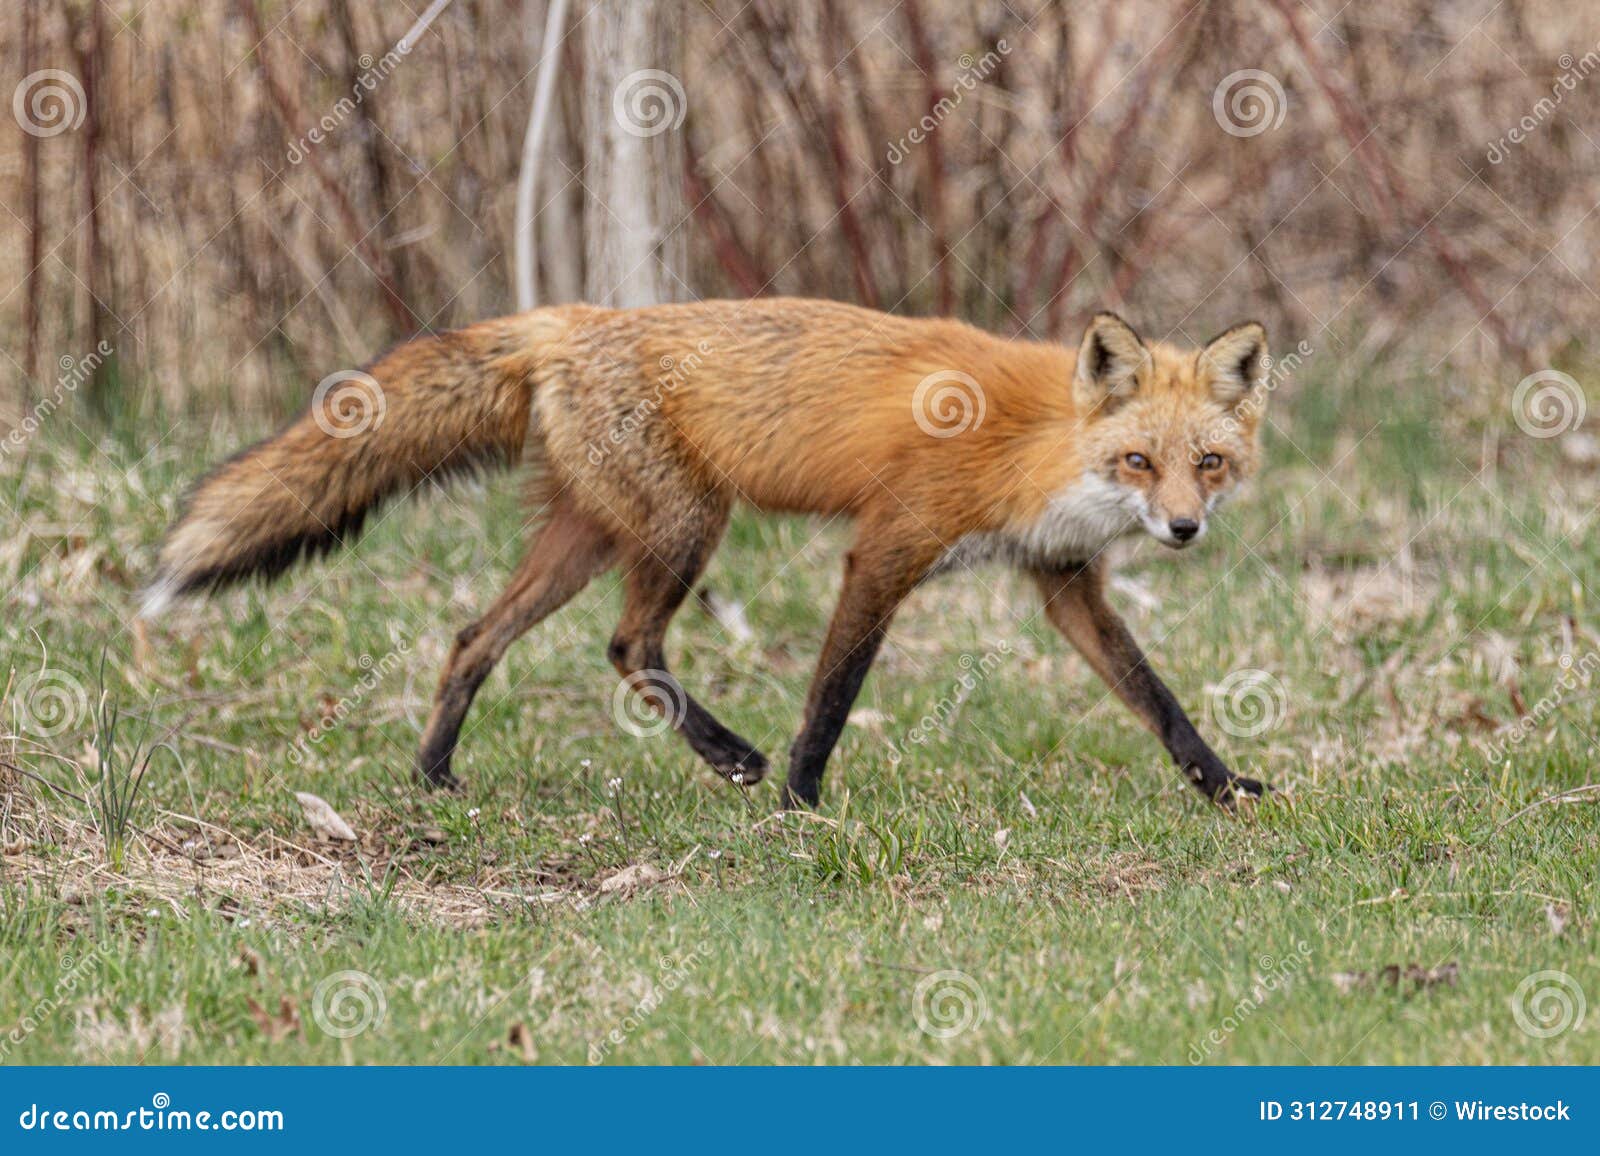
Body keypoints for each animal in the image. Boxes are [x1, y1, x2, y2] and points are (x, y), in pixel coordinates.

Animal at [144, 298, 1271, 809]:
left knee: (474, 637)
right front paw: (803, 798)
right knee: (627, 645)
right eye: (1139, 461)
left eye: (1208, 464)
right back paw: (731, 755)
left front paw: (1222, 786)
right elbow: (833, 692)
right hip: (685, 527)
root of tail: (569, 319)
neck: (1036, 444)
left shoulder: (1062, 579)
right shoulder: (886, 547)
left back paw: (433, 774)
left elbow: (1156, 696)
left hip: (593, 537)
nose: (1183, 529)